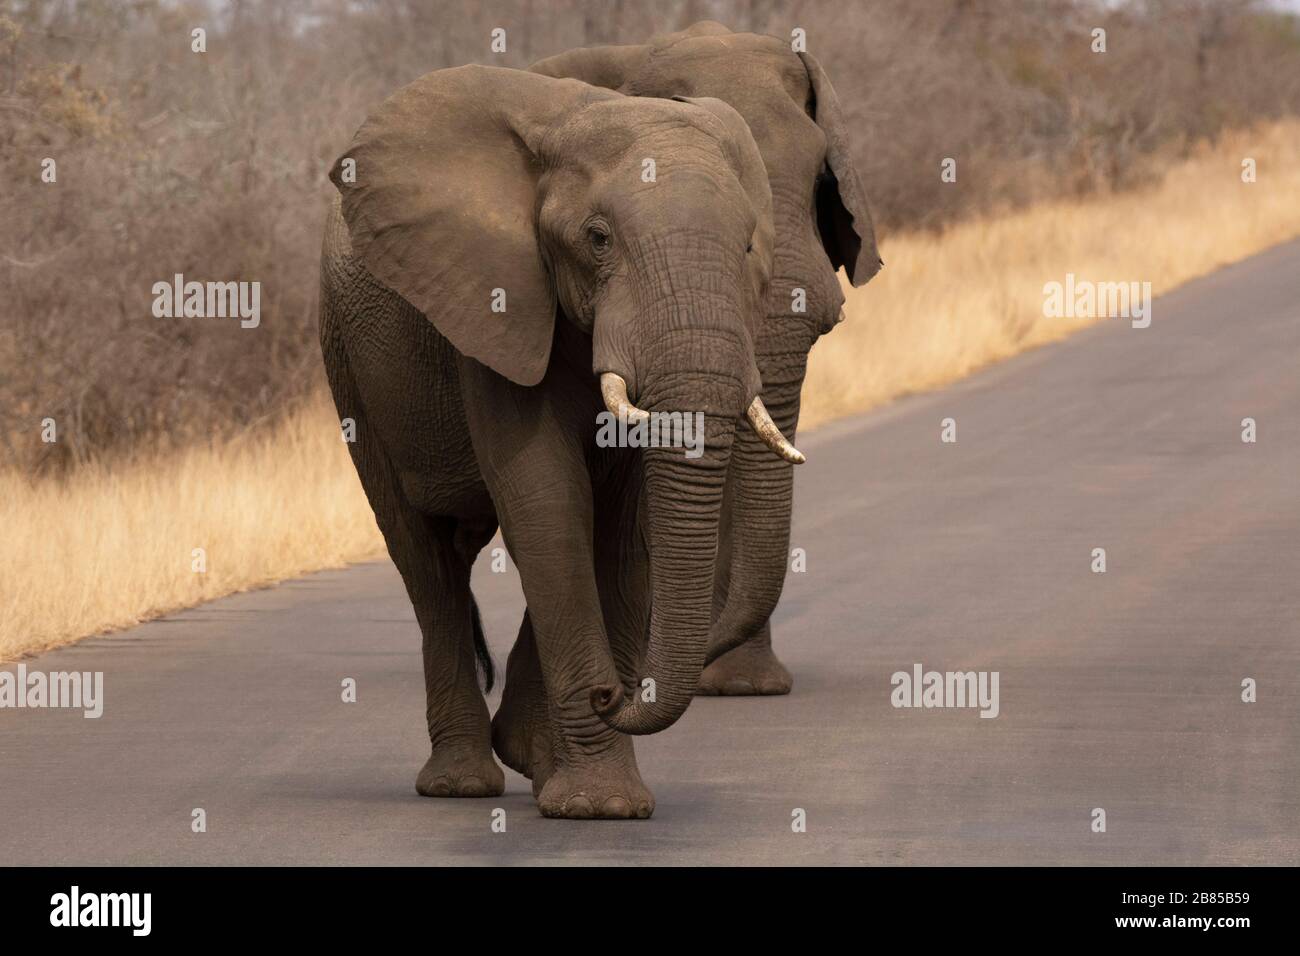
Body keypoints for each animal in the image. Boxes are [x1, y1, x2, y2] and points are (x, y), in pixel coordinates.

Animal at [318, 64, 801, 819]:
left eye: (750, 245)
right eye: (598, 238)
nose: (610, 693)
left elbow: (624, 527)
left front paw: (600, 798)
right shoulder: (495, 303)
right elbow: (547, 502)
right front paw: (600, 806)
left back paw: (527, 754)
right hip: (347, 360)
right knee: (425, 559)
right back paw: (461, 784)